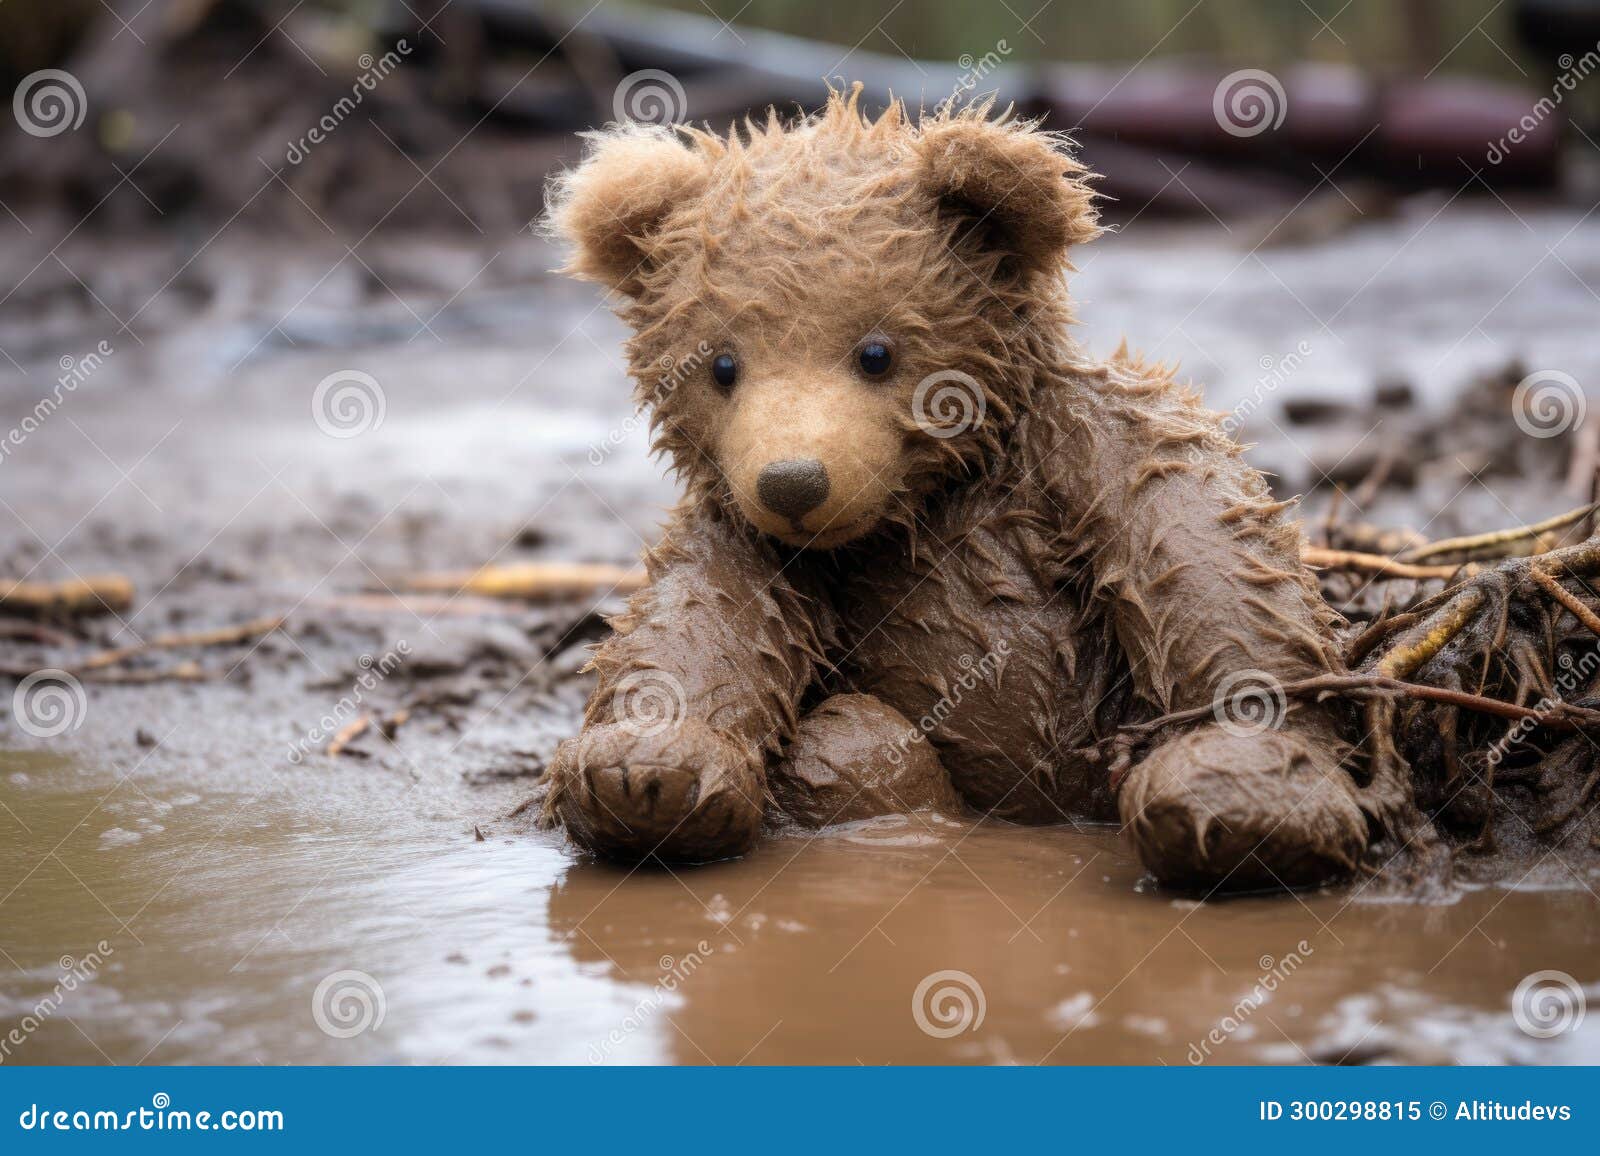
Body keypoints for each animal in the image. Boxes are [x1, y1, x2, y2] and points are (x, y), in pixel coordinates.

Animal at [538, 87, 1370, 891]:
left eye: (876, 354)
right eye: (720, 367)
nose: (793, 482)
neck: (928, 498)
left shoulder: (1083, 438)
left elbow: (1202, 554)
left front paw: (1242, 790)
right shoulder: (746, 528)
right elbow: (702, 613)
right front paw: (644, 772)